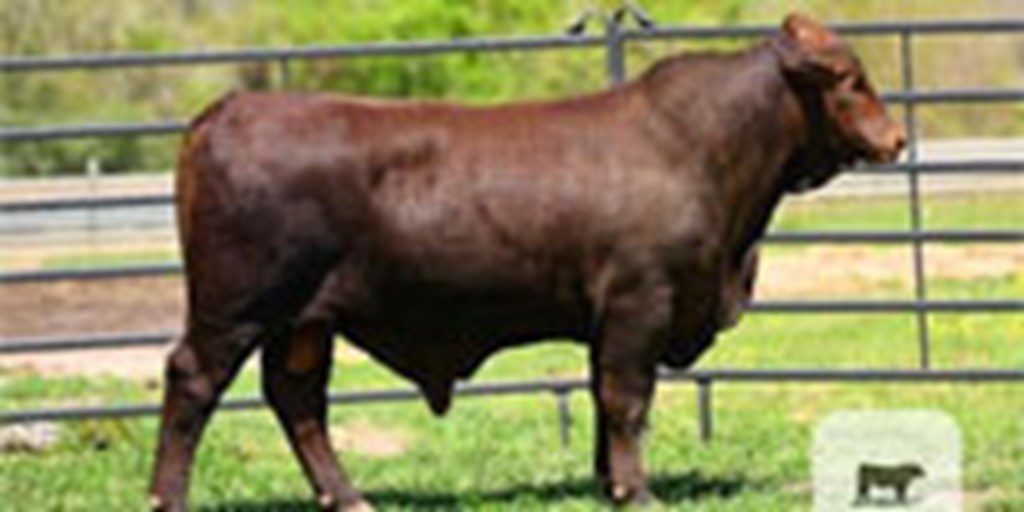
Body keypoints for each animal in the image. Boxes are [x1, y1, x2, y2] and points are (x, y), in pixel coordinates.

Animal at [149, 13, 903, 511]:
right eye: (850, 79)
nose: (896, 138)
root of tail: (226, 110)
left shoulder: (611, 319)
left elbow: (604, 398)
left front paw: (607, 485)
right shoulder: (640, 302)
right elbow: (627, 399)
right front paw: (637, 492)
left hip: (304, 321)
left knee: (297, 399)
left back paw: (348, 498)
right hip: (237, 306)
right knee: (193, 381)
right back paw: (169, 499)